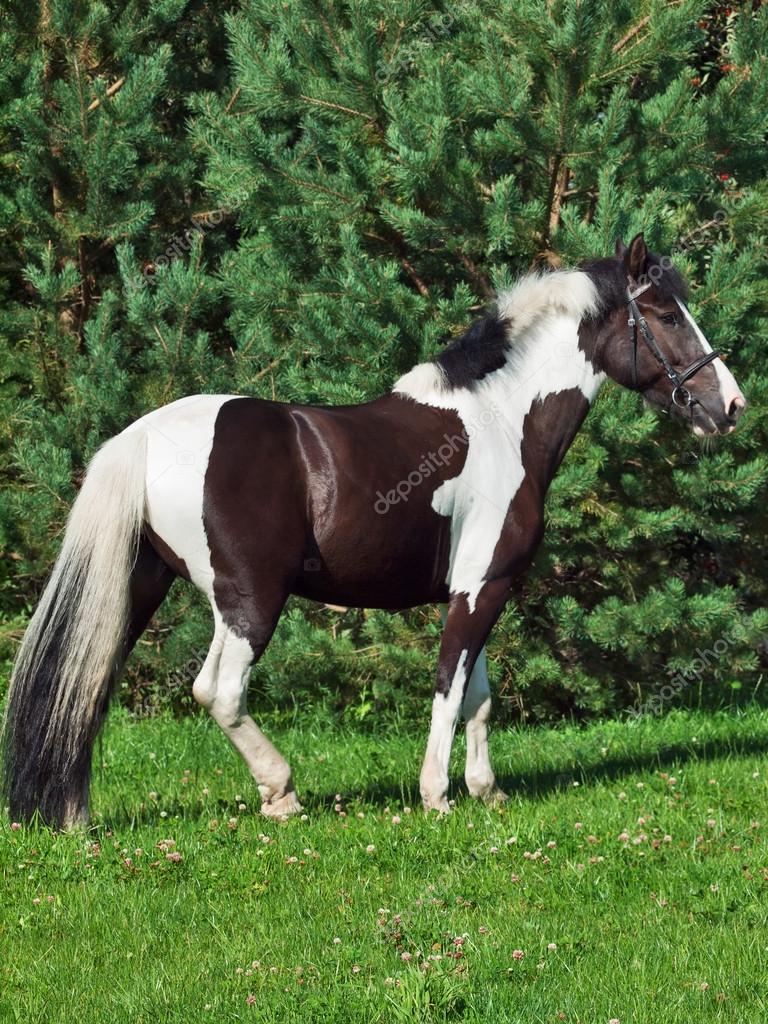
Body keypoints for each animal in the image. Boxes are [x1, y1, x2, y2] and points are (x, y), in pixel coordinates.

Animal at [2, 233, 746, 828]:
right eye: (664, 315)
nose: (731, 407)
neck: (502, 423)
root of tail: (142, 435)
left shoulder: (476, 588)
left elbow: (478, 695)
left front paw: (486, 789)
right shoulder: (483, 587)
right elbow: (450, 686)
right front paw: (437, 795)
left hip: (140, 588)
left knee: (86, 690)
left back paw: (74, 813)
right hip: (248, 600)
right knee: (219, 692)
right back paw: (282, 794)